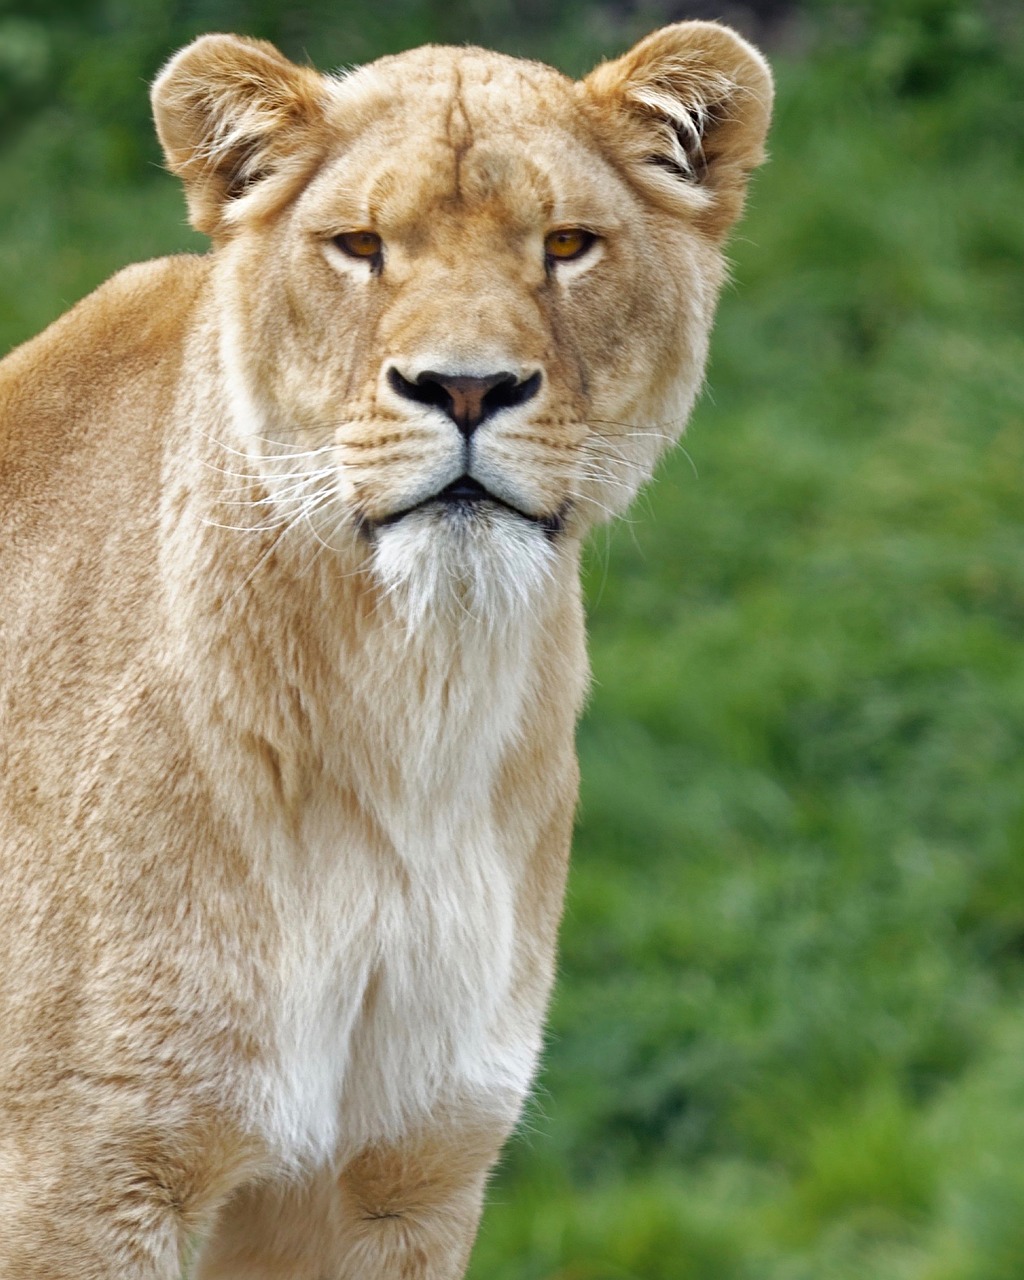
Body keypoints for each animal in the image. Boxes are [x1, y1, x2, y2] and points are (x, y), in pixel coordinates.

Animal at [0, 22, 771, 1279]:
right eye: (360, 246)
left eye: (565, 244)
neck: (413, 705)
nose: (465, 386)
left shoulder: (400, 1165)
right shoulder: (81, 1172)